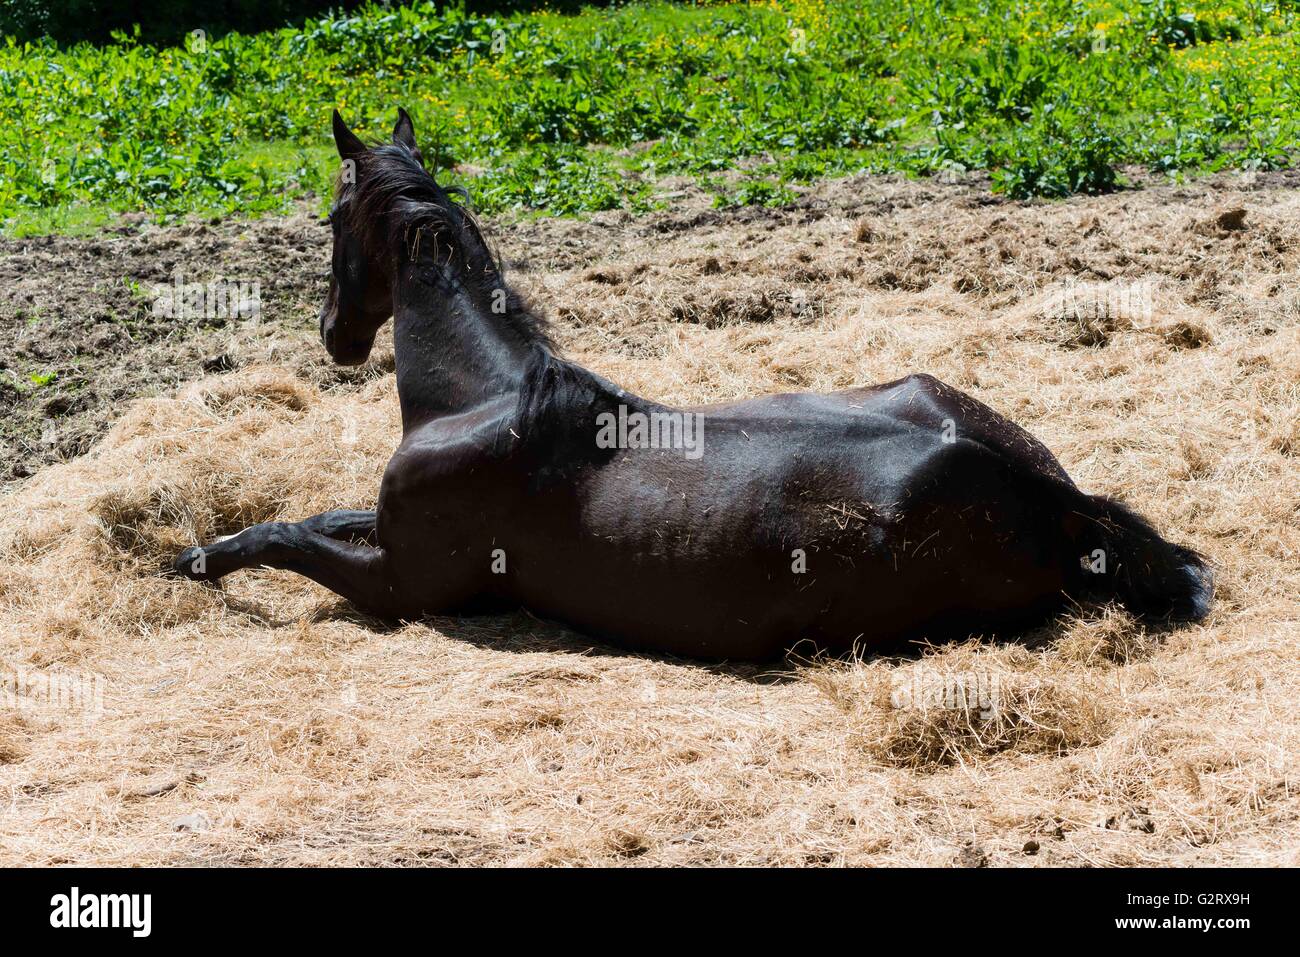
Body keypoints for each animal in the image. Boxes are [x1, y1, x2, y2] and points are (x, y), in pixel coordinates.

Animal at [172, 108, 1213, 661]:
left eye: (330, 219)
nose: (335, 339)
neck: (483, 397)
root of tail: (1055, 500)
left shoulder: (400, 583)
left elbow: (287, 537)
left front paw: (193, 561)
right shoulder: (381, 530)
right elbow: (316, 514)